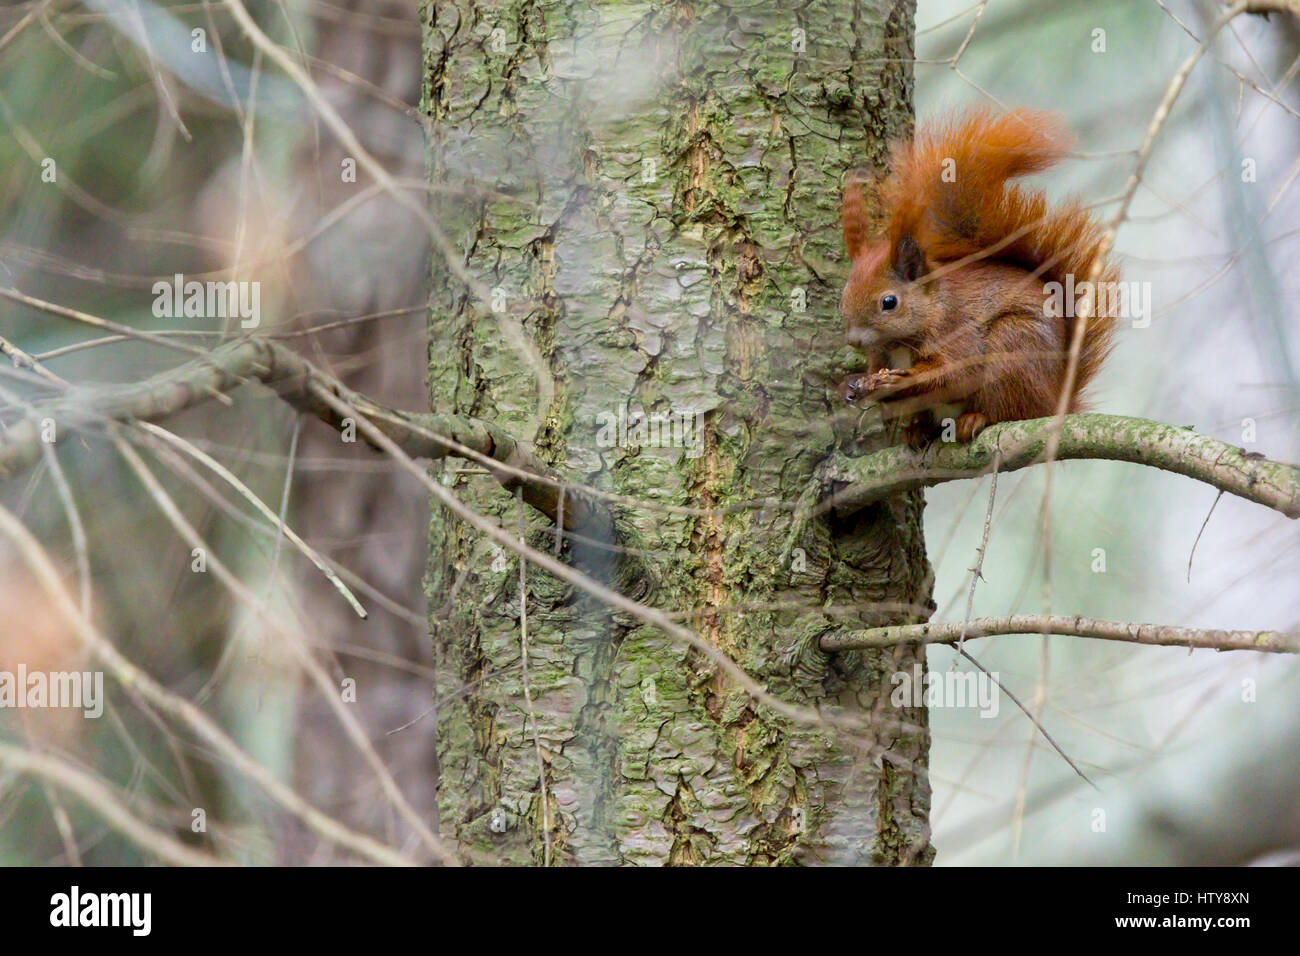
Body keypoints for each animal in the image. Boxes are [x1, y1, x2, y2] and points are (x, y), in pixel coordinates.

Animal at [837, 107, 1118, 447]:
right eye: (843, 296)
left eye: (889, 302)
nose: (854, 340)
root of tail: (1055, 403)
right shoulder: (880, 355)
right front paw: (854, 384)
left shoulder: (959, 333)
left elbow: (955, 373)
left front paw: (898, 382)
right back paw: (917, 430)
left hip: (1014, 347)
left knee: (1008, 411)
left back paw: (974, 419)